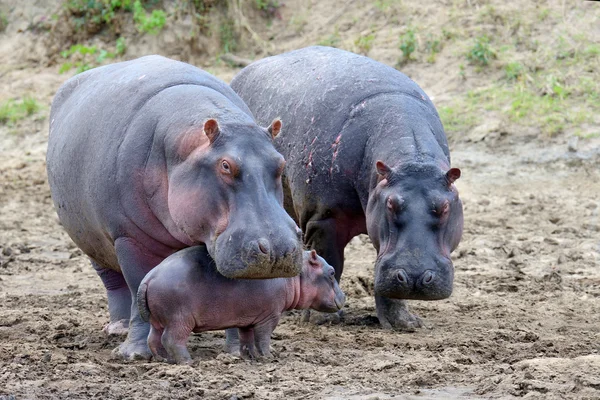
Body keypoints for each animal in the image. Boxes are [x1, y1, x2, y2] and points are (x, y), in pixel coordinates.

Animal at [47, 54, 302, 360]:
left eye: (281, 162)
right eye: (225, 165)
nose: (278, 250)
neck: (184, 148)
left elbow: (235, 290)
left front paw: (233, 353)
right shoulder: (129, 238)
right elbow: (137, 287)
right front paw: (134, 354)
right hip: (91, 241)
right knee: (114, 284)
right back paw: (118, 330)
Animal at [138, 245, 344, 364]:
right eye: (332, 272)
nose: (345, 296)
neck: (296, 275)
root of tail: (148, 278)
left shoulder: (249, 318)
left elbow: (247, 339)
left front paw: (249, 357)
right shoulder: (269, 317)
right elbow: (263, 338)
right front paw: (269, 357)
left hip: (157, 320)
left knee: (153, 339)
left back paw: (164, 360)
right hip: (179, 320)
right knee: (172, 340)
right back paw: (188, 363)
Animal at [230, 47, 464, 330]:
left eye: (444, 207)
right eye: (391, 204)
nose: (415, 277)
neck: (413, 161)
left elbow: (383, 272)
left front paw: (404, 323)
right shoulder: (325, 219)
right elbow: (330, 260)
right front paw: (322, 320)